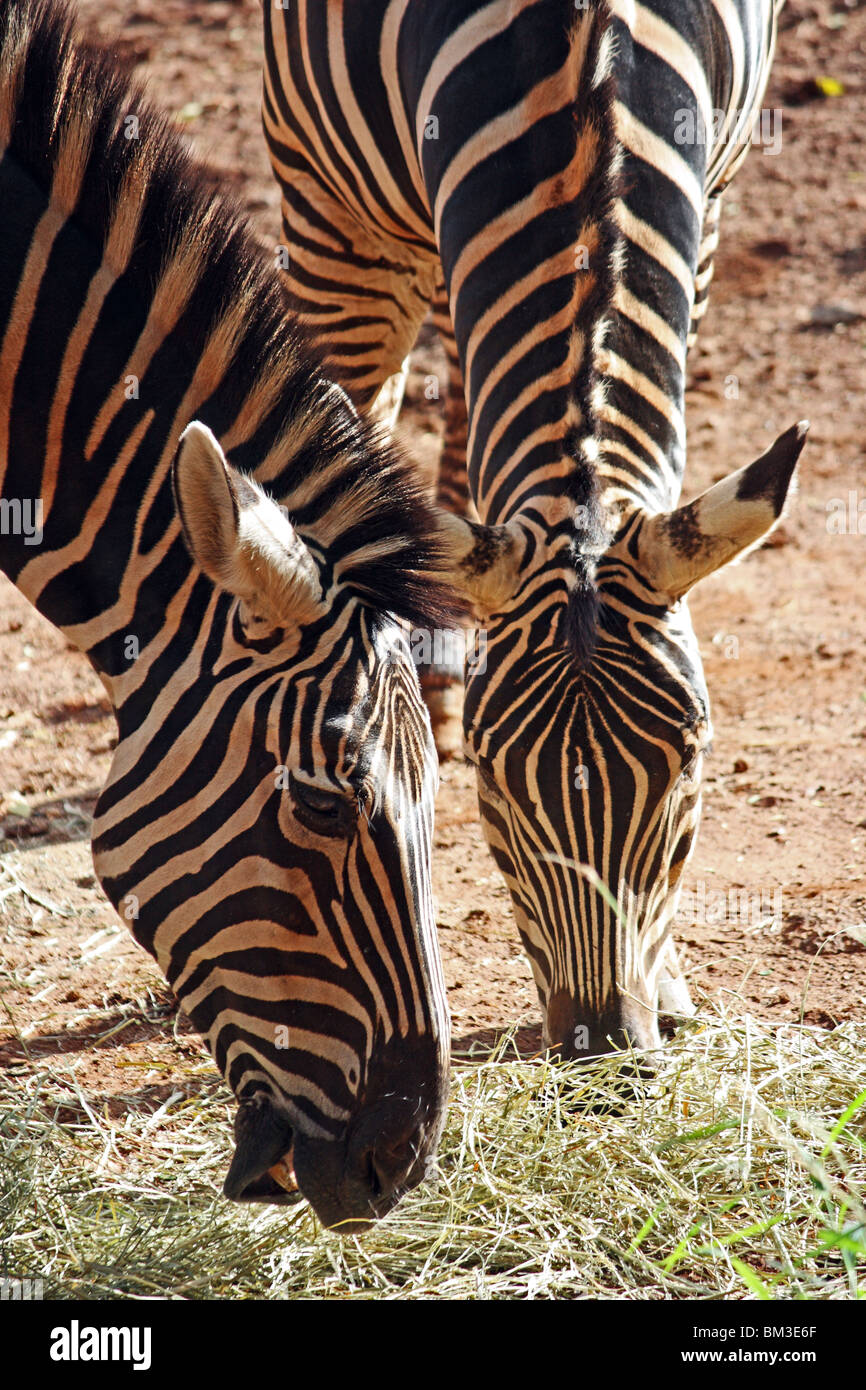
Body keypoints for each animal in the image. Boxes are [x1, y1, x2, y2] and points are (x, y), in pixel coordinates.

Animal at [262, 0, 808, 1058]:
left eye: (689, 776)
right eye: (496, 795)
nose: (603, 1043)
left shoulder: (709, 201)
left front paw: (665, 978)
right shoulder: (334, 207)